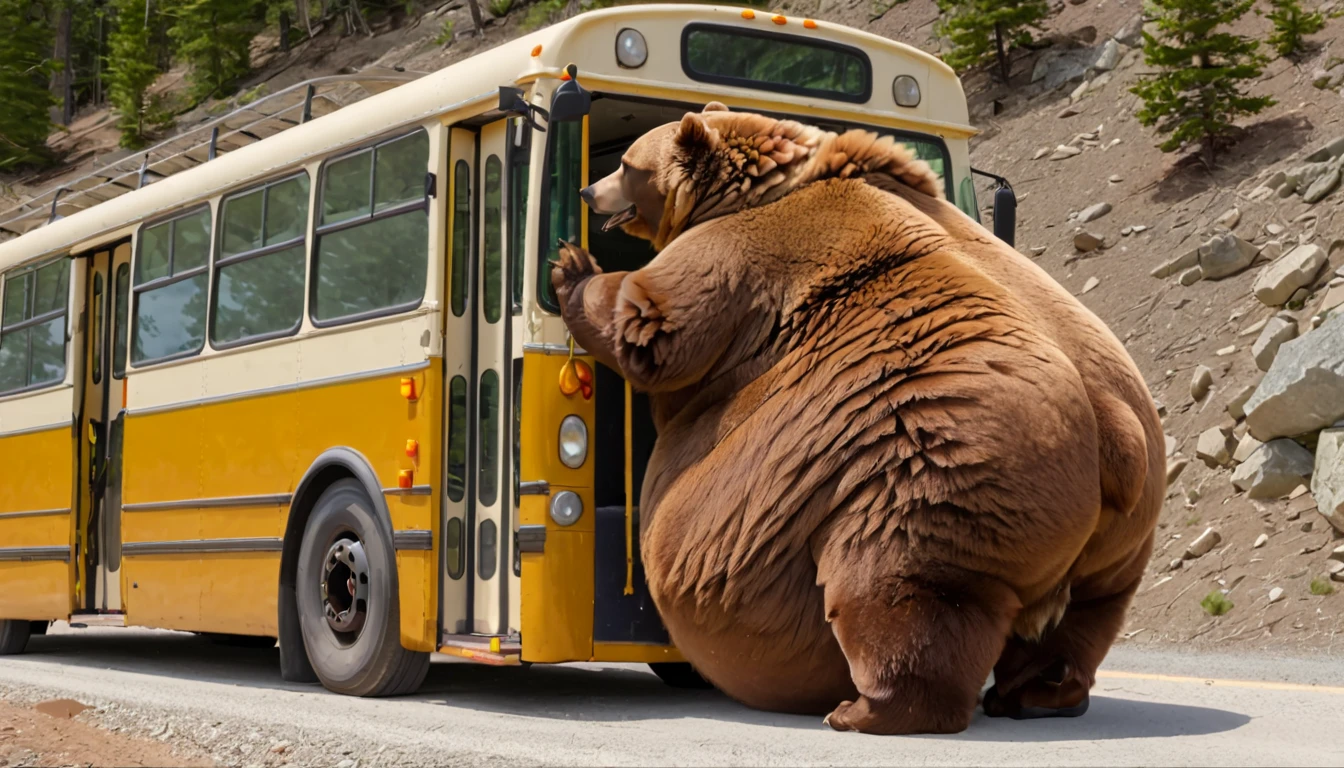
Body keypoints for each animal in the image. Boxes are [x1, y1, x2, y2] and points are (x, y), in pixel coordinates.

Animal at [550, 103, 1164, 735]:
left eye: (627, 165)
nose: (588, 188)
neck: (748, 187)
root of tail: (1117, 443)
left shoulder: (739, 262)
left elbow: (652, 327)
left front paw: (572, 267)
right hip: (1125, 533)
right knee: (1087, 615)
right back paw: (1040, 693)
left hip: (920, 463)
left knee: (901, 589)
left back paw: (864, 708)